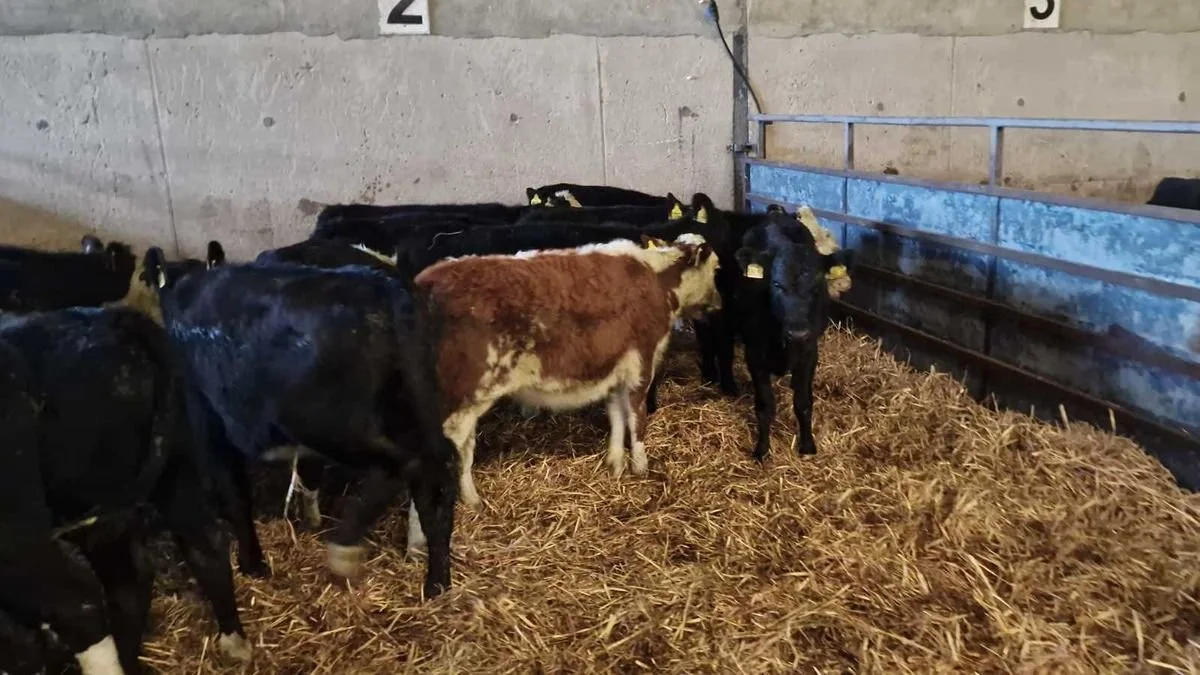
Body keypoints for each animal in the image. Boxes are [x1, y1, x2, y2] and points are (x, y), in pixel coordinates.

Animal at [147, 252, 459, 598]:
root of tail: (388, 291)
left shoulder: (208, 425)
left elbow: (235, 496)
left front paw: (252, 563)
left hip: (330, 426)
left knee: (404, 465)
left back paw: (344, 548)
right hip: (413, 412)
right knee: (436, 480)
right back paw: (437, 581)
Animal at [402, 233, 720, 557]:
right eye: (717, 268)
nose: (718, 304)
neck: (657, 278)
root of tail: (427, 281)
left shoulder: (613, 366)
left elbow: (616, 415)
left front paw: (615, 462)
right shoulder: (641, 363)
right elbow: (636, 417)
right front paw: (640, 466)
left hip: (467, 405)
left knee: (464, 453)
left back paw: (472, 502)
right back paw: (417, 545)